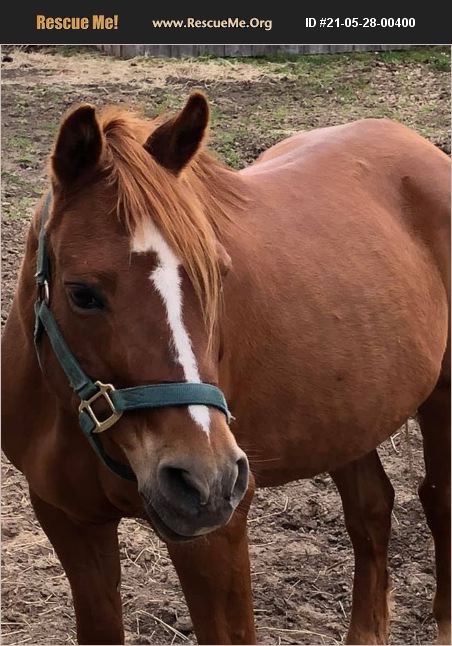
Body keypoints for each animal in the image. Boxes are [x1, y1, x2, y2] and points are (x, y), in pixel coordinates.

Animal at [2, 91, 450, 645]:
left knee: (439, 501)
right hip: (349, 418)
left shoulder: (214, 538)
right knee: (372, 509)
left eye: (218, 275)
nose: (207, 480)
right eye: (82, 293)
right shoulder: (68, 520)